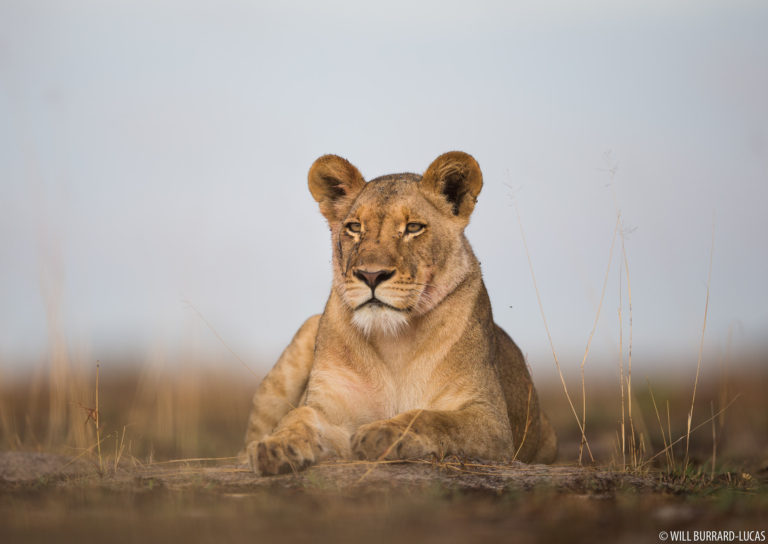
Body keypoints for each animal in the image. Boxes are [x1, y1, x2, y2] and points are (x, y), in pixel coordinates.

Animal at [244, 151, 557, 475]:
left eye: (413, 228)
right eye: (354, 227)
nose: (371, 275)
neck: (393, 341)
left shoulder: (491, 420)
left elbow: (432, 418)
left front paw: (383, 433)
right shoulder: (330, 409)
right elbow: (298, 418)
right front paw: (276, 446)